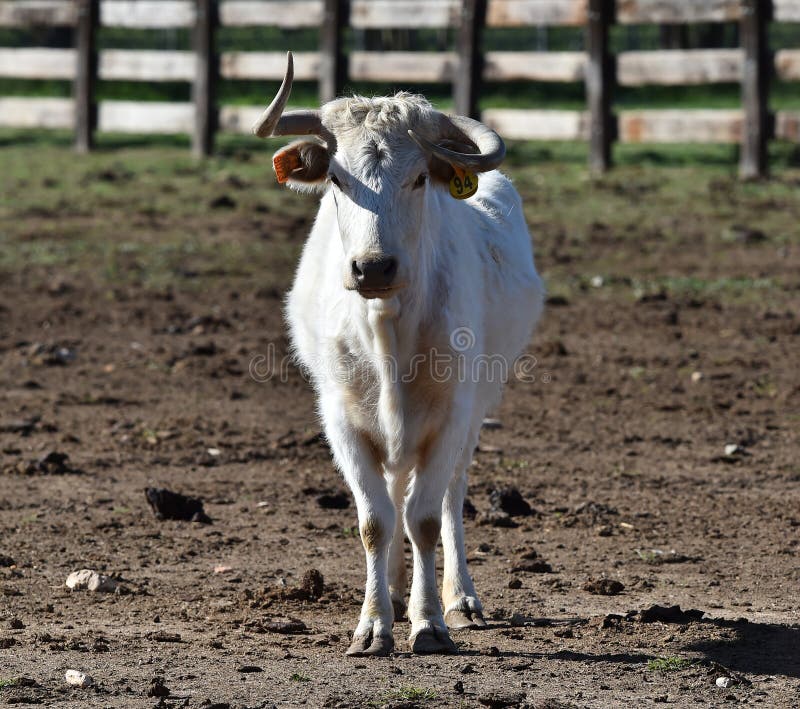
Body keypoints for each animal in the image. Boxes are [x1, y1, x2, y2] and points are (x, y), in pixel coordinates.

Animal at [253, 52, 544, 656]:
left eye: (418, 178)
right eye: (336, 178)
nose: (373, 267)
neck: (387, 332)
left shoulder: (451, 414)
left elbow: (427, 519)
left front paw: (429, 621)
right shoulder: (342, 420)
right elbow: (375, 522)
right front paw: (373, 624)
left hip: (477, 405)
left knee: (450, 495)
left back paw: (459, 598)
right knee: (391, 498)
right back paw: (388, 586)